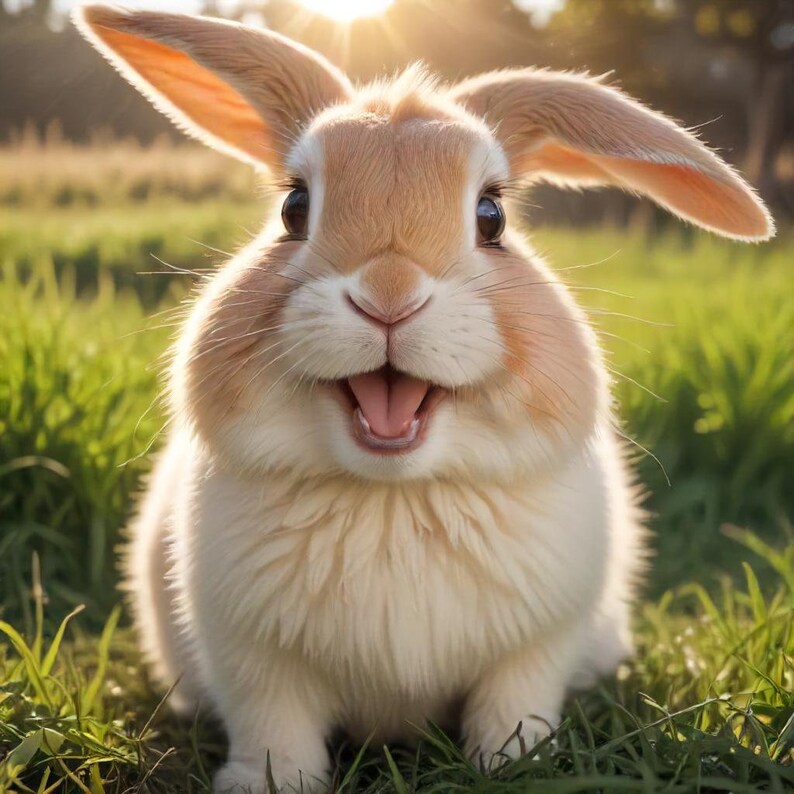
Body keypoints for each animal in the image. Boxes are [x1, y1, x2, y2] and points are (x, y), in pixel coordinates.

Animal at [74, 5, 774, 792]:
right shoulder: (253, 659)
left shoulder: (533, 649)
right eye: (294, 207)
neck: (394, 498)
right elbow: (274, 727)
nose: (389, 295)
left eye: (492, 217)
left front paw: (515, 764)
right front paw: (265, 782)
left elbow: (512, 709)